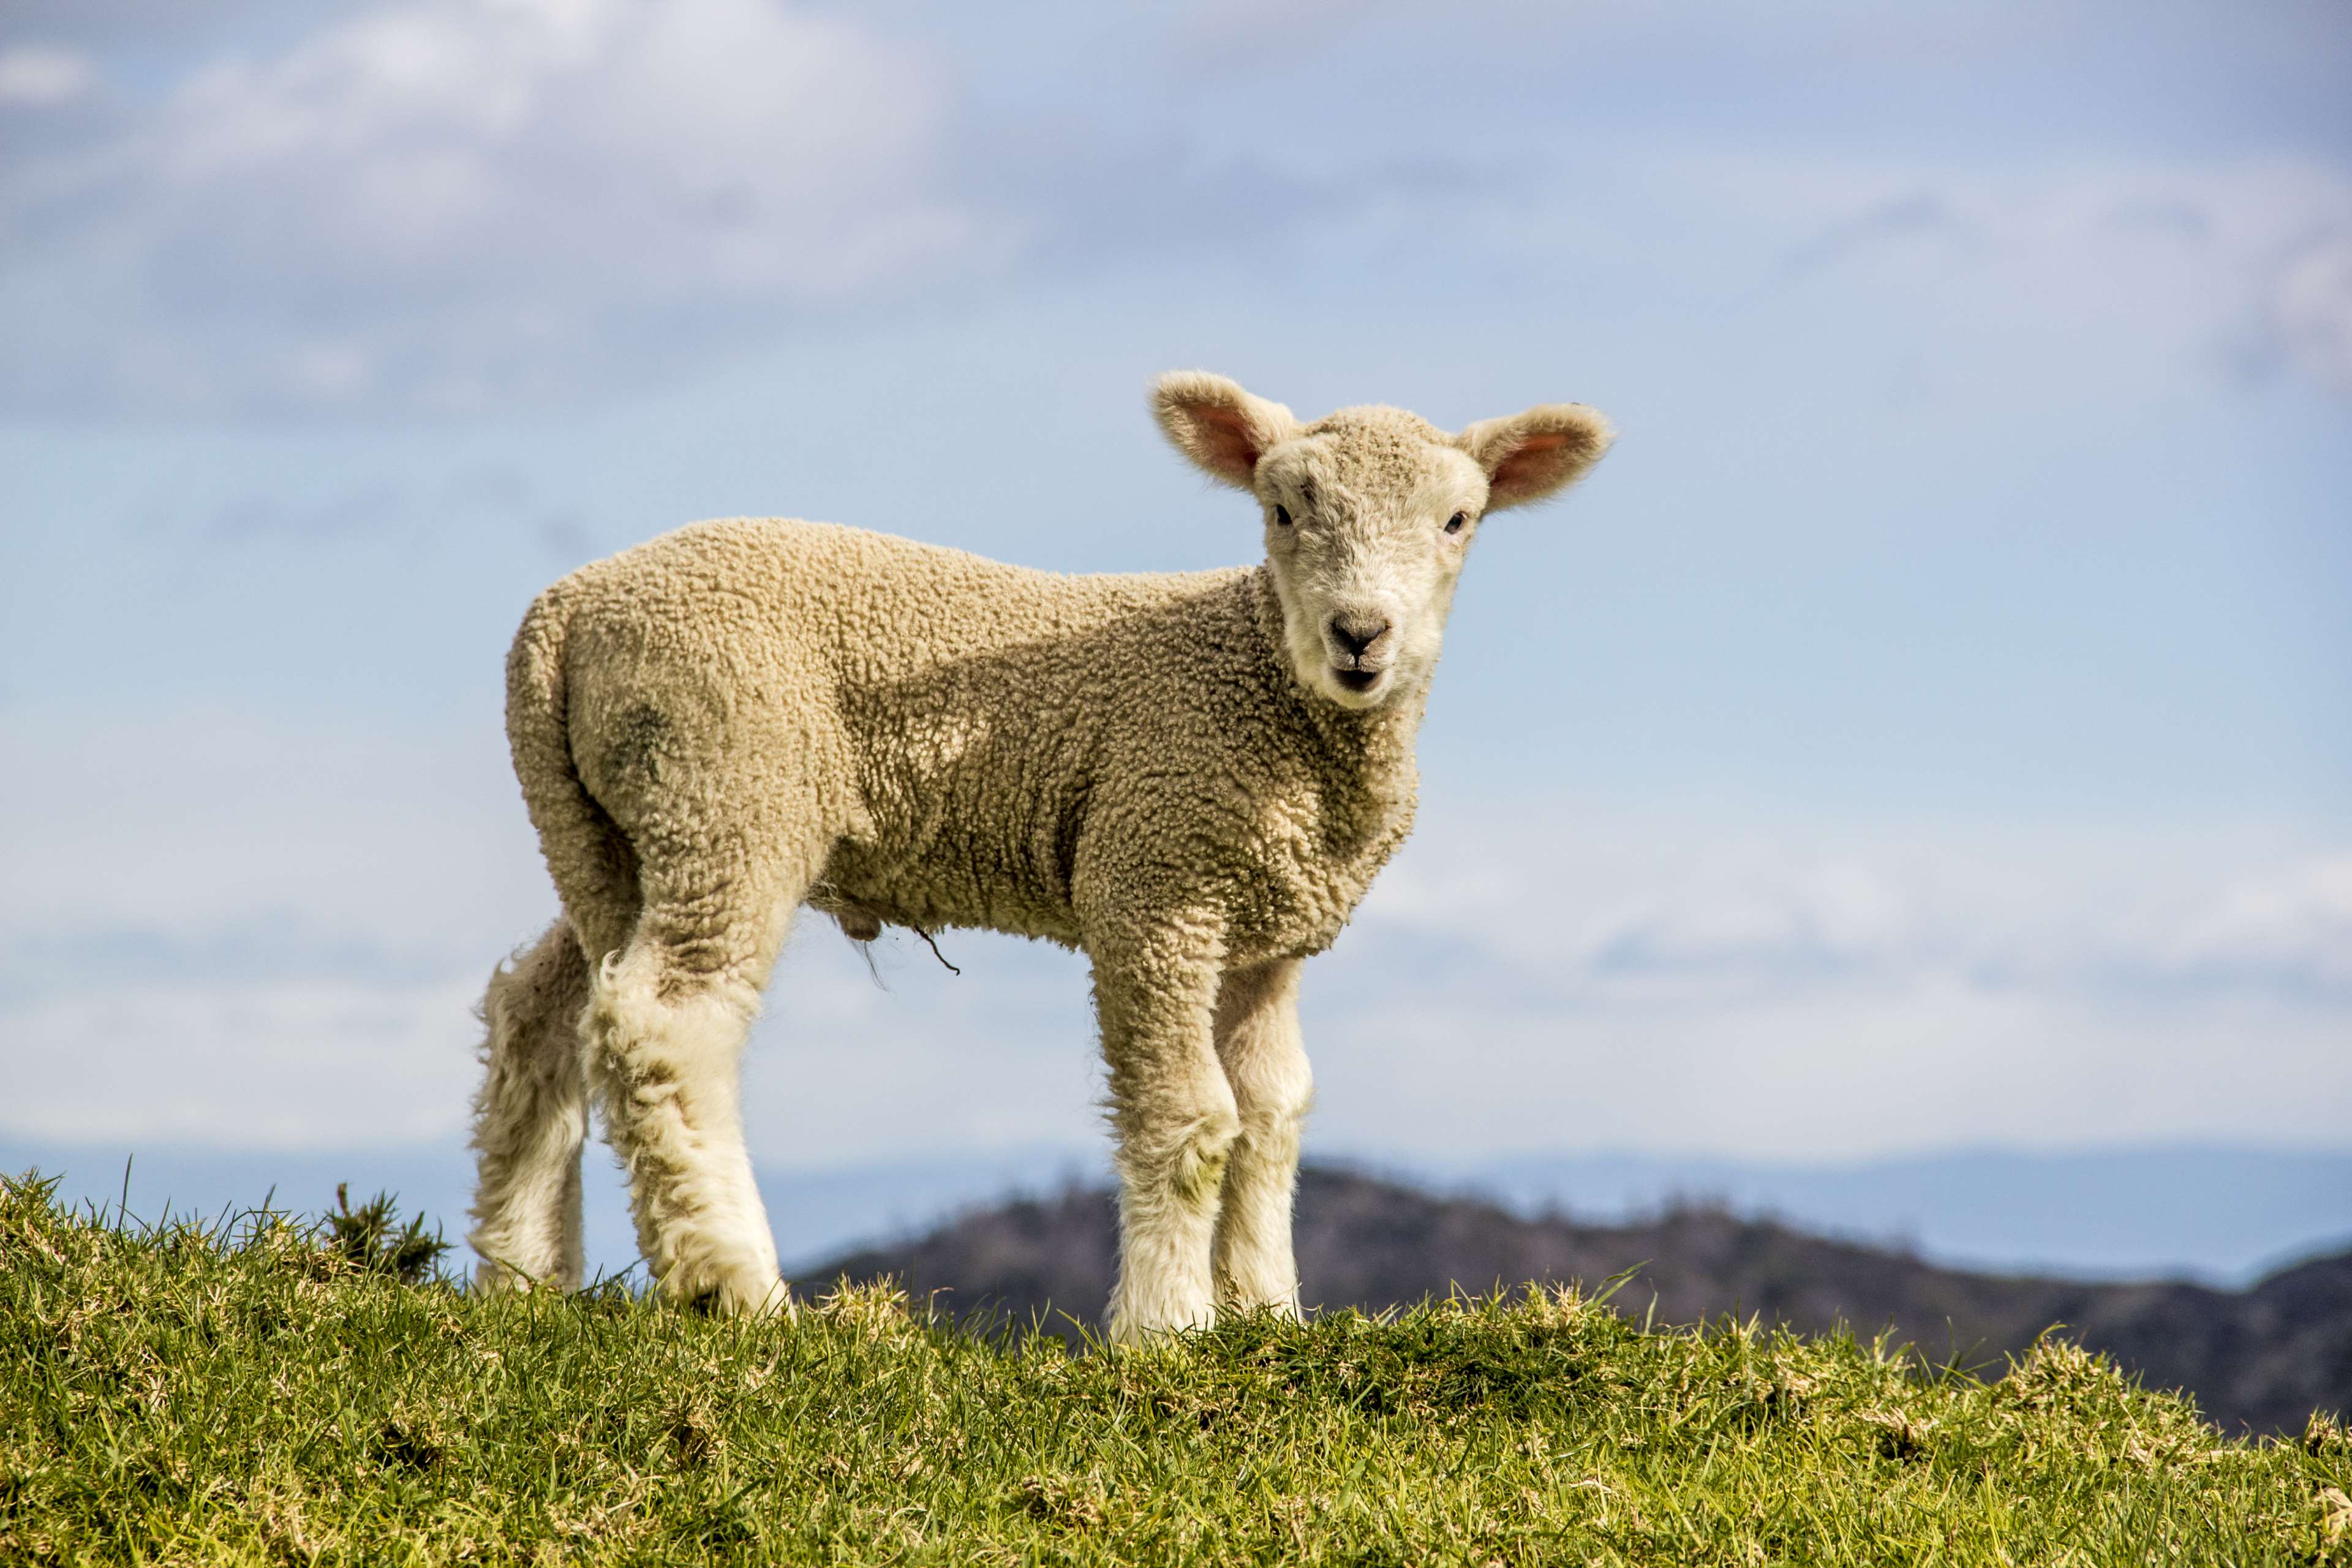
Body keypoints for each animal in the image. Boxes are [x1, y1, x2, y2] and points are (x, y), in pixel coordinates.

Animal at [466, 372, 1613, 1341]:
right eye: (1283, 511)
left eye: (1458, 521)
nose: (1361, 635)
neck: (1267, 684)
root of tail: (560, 616)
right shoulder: (1153, 879)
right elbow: (1191, 1114)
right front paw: (1168, 1327)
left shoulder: (1266, 930)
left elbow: (1272, 1114)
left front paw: (1266, 1315)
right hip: (729, 788)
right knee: (669, 1023)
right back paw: (738, 1290)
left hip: (613, 827)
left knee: (545, 1008)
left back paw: (523, 1277)